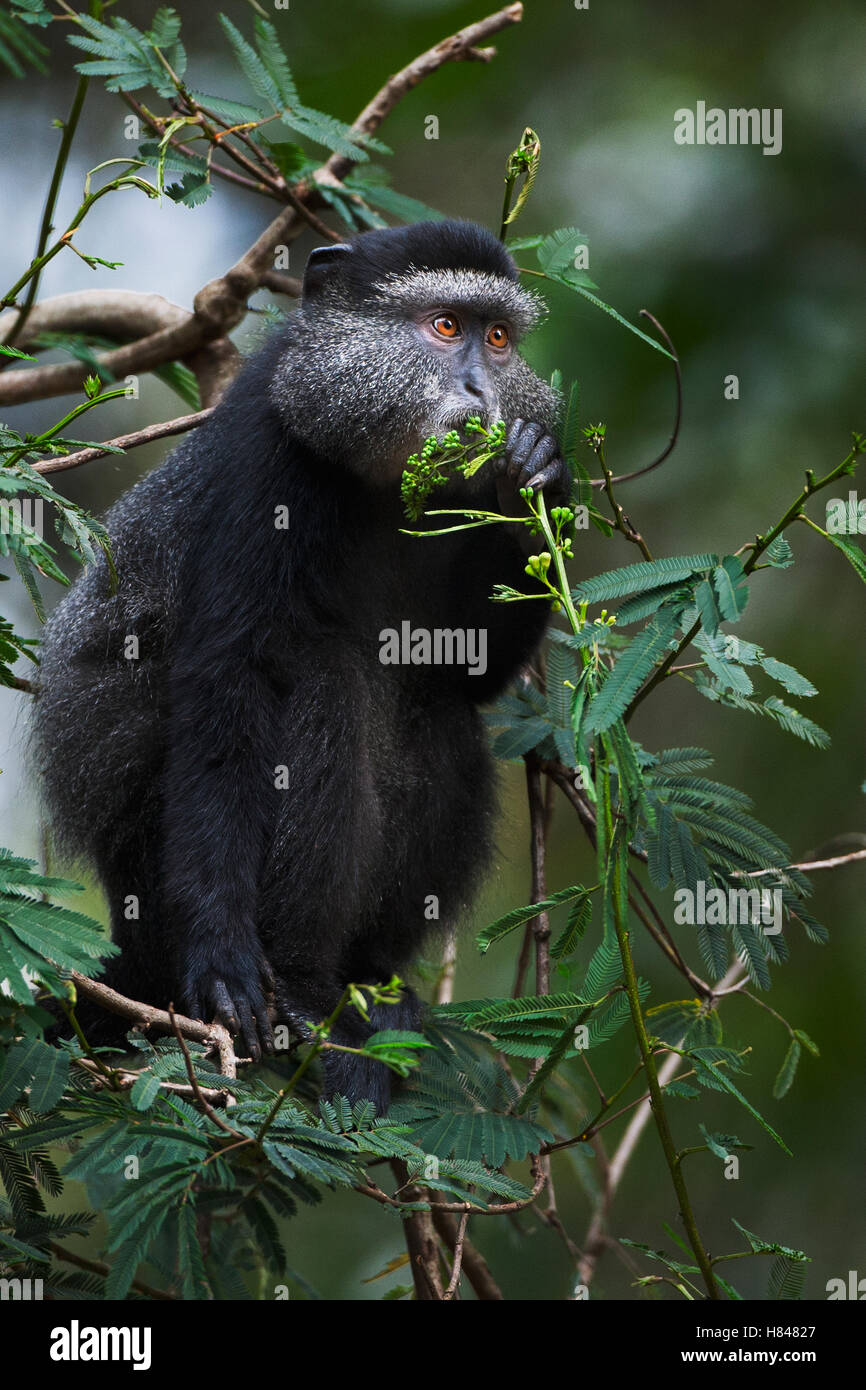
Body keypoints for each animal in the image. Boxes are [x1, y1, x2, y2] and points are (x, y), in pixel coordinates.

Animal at [33, 219, 570, 1111]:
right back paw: (308, 996)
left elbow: (471, 673)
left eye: (498, 340)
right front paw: (223, 960)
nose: (480, 391)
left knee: (436, 711)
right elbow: (231, 677)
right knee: (324, 682)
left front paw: (540, 478)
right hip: (148, 855)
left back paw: (373, 988)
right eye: (445, 327)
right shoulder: (266, 459)